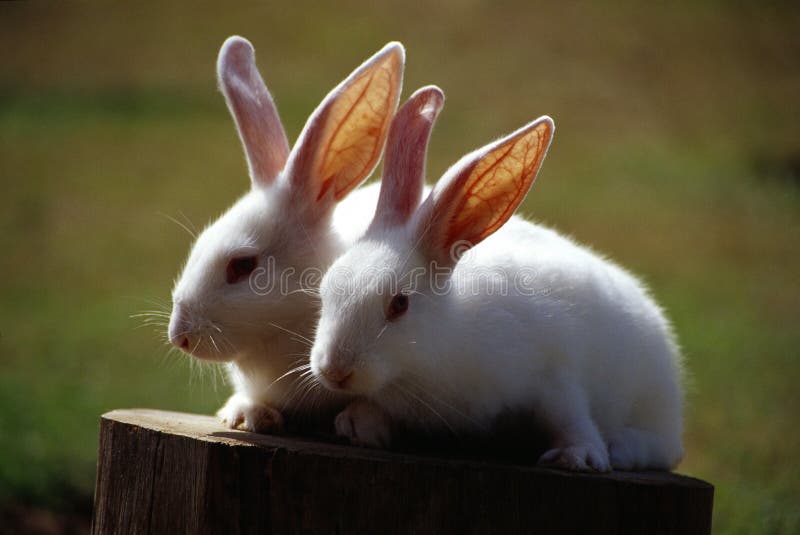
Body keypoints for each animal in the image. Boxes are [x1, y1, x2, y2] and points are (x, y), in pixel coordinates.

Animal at [309, 92, 685, 472]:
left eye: (399, 304)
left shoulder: (553, 374)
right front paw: (358, 424)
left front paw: (577, 456)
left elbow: (571, 417)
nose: (335, 371)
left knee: (664, 448)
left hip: (654, 403)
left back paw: (621, 446)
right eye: (325, 292)